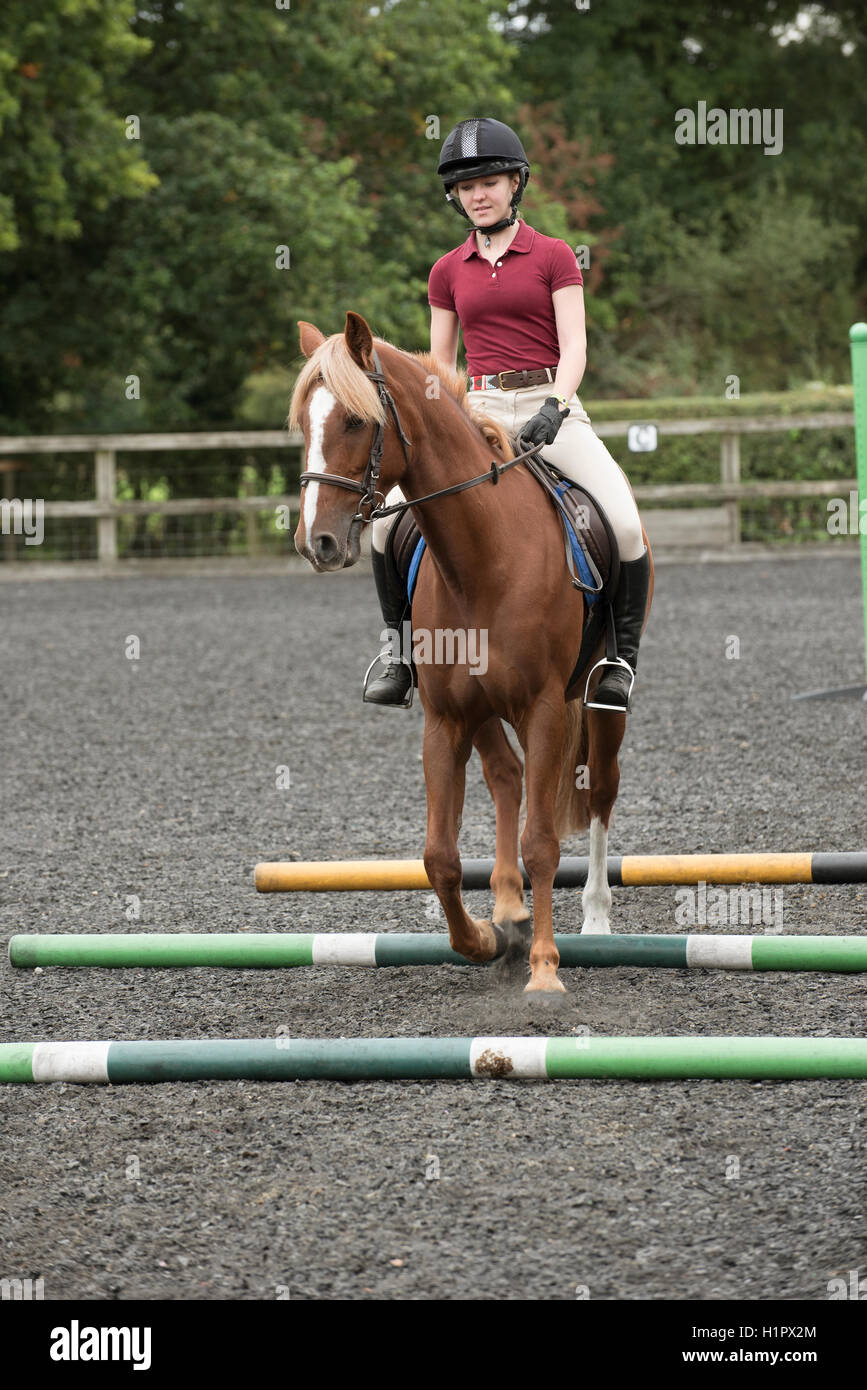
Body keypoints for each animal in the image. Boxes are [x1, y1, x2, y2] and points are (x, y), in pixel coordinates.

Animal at [289, 311, 653, 993]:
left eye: (353, 421)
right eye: (305, 423)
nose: (316, 542)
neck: (484, 555)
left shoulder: (543, 708)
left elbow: (543, 843)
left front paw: (544, 969)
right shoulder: (445, 717)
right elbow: (439, 855)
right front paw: (484, 938)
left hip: (595, 701)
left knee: (599, 790)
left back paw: (593, 918)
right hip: (483, 708)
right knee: (506, 777)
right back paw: (508, 907)